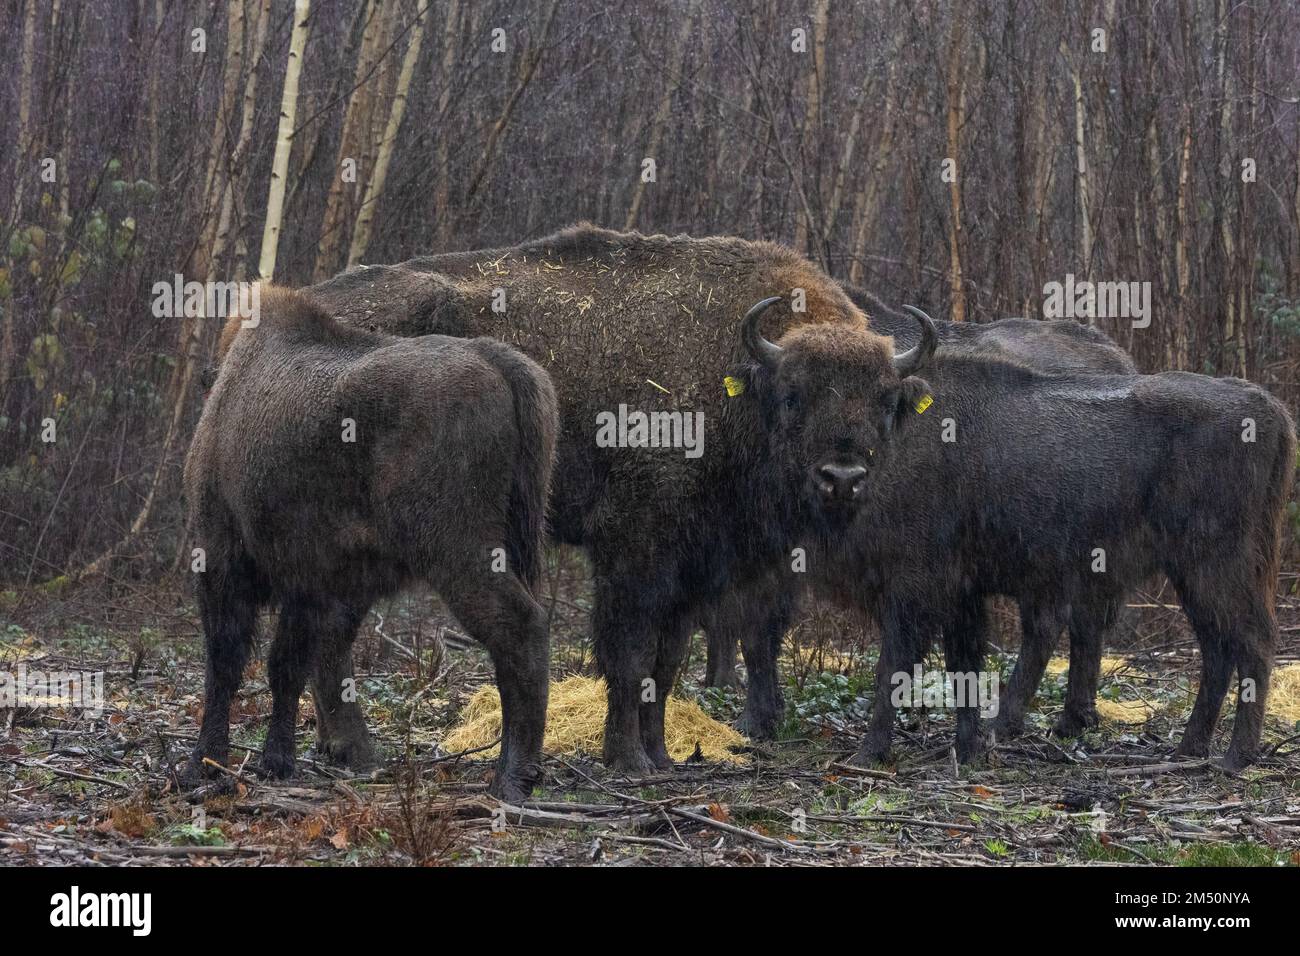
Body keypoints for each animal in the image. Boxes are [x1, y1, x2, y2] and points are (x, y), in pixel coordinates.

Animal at [182, 286, 559, 800]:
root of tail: (495, 359)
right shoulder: (309, 584)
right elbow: (286, 667)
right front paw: (276, 761)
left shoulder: (222, 563)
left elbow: (227, 664)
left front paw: (205, 763)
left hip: (457, 552)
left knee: (521, 626)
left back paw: (512, 776)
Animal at [304, 223, 938, 775]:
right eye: (793, 394)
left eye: (885, 400)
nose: (842, 477)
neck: (736, 381)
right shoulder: (634, 551)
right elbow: (628, 654)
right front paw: (628, 760)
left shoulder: (693, 565)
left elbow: (668, 659)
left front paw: (662, 758)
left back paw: (337, 749)